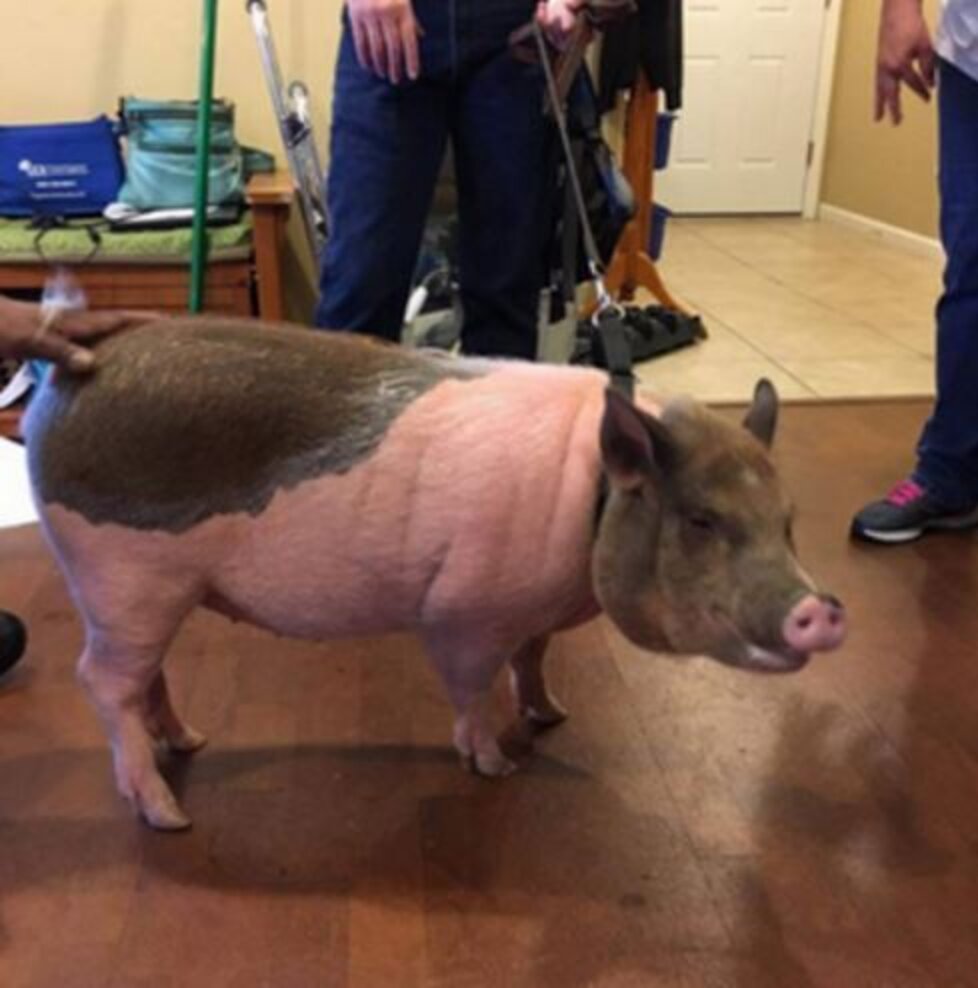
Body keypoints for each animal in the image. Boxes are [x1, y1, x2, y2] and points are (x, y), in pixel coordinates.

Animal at [23, 317, 845, 830]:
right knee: (100, 681)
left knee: (143, 677)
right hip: (123, 576)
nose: (824, 608)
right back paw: (168, 813)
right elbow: (472, 687)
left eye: (788, 520)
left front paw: (552, 715)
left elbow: (533, 657)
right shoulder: (464, 610)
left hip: (147, 595)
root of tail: (60, 391)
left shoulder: (532, 613)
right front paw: (497, 767)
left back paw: (189, 741)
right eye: (701, 520)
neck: (592, 500)